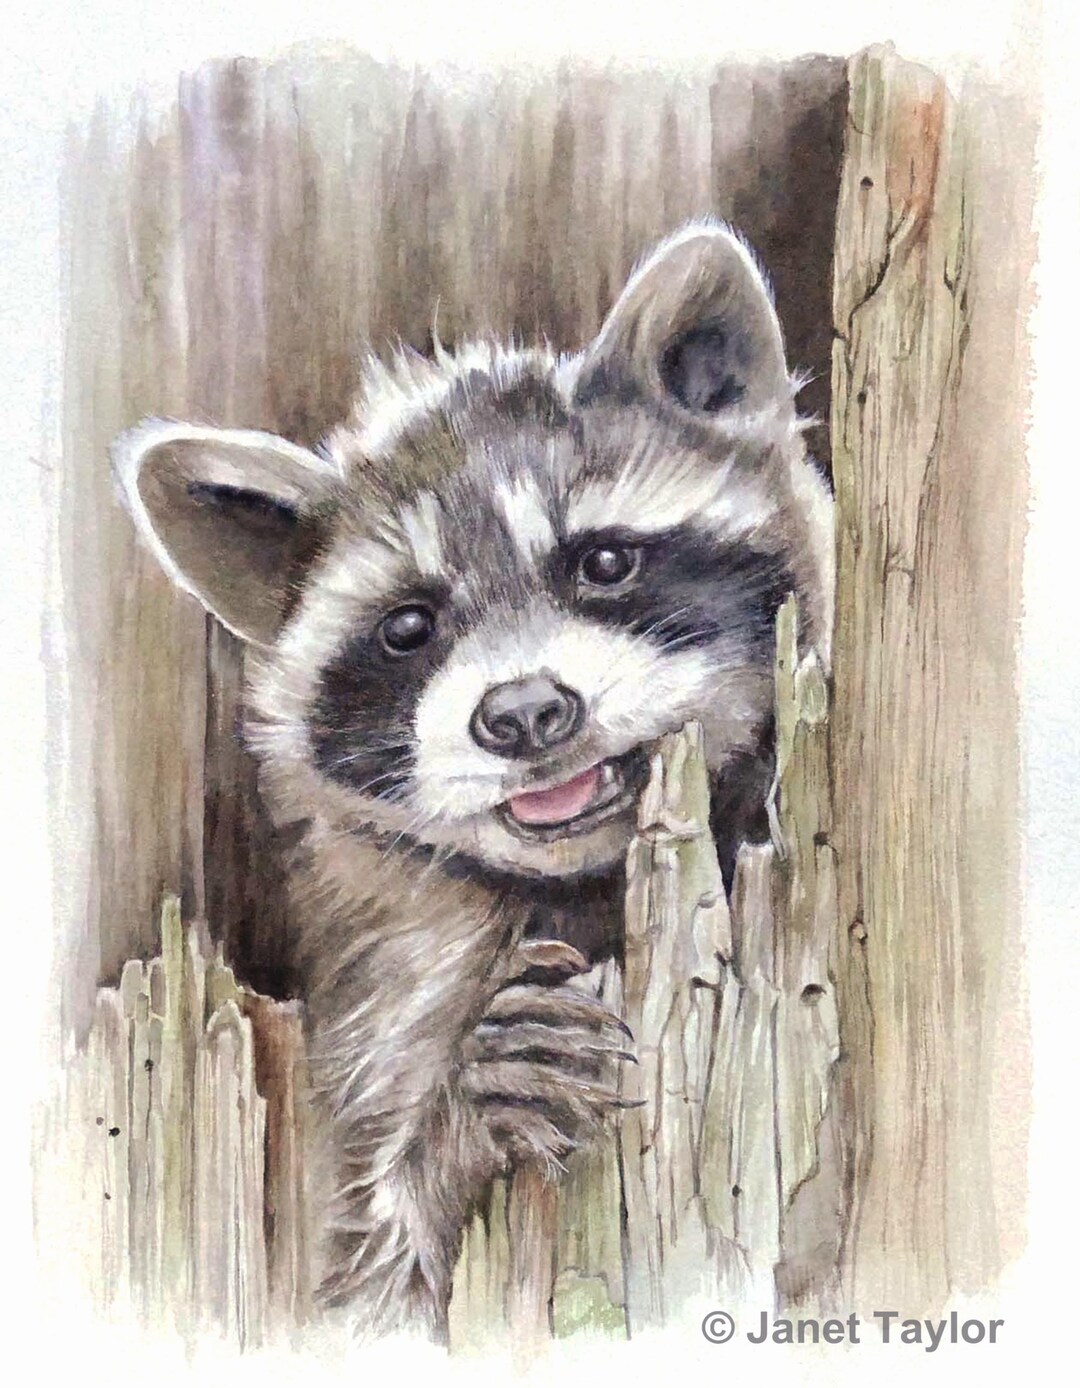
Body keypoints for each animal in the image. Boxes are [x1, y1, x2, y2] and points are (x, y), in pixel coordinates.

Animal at [114, 221, 833, 1339]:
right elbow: (373, 1268)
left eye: (605, 562)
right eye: (408, 627)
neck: (582, 881)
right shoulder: (402, 982)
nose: (525, 712)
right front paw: (451, 1134)